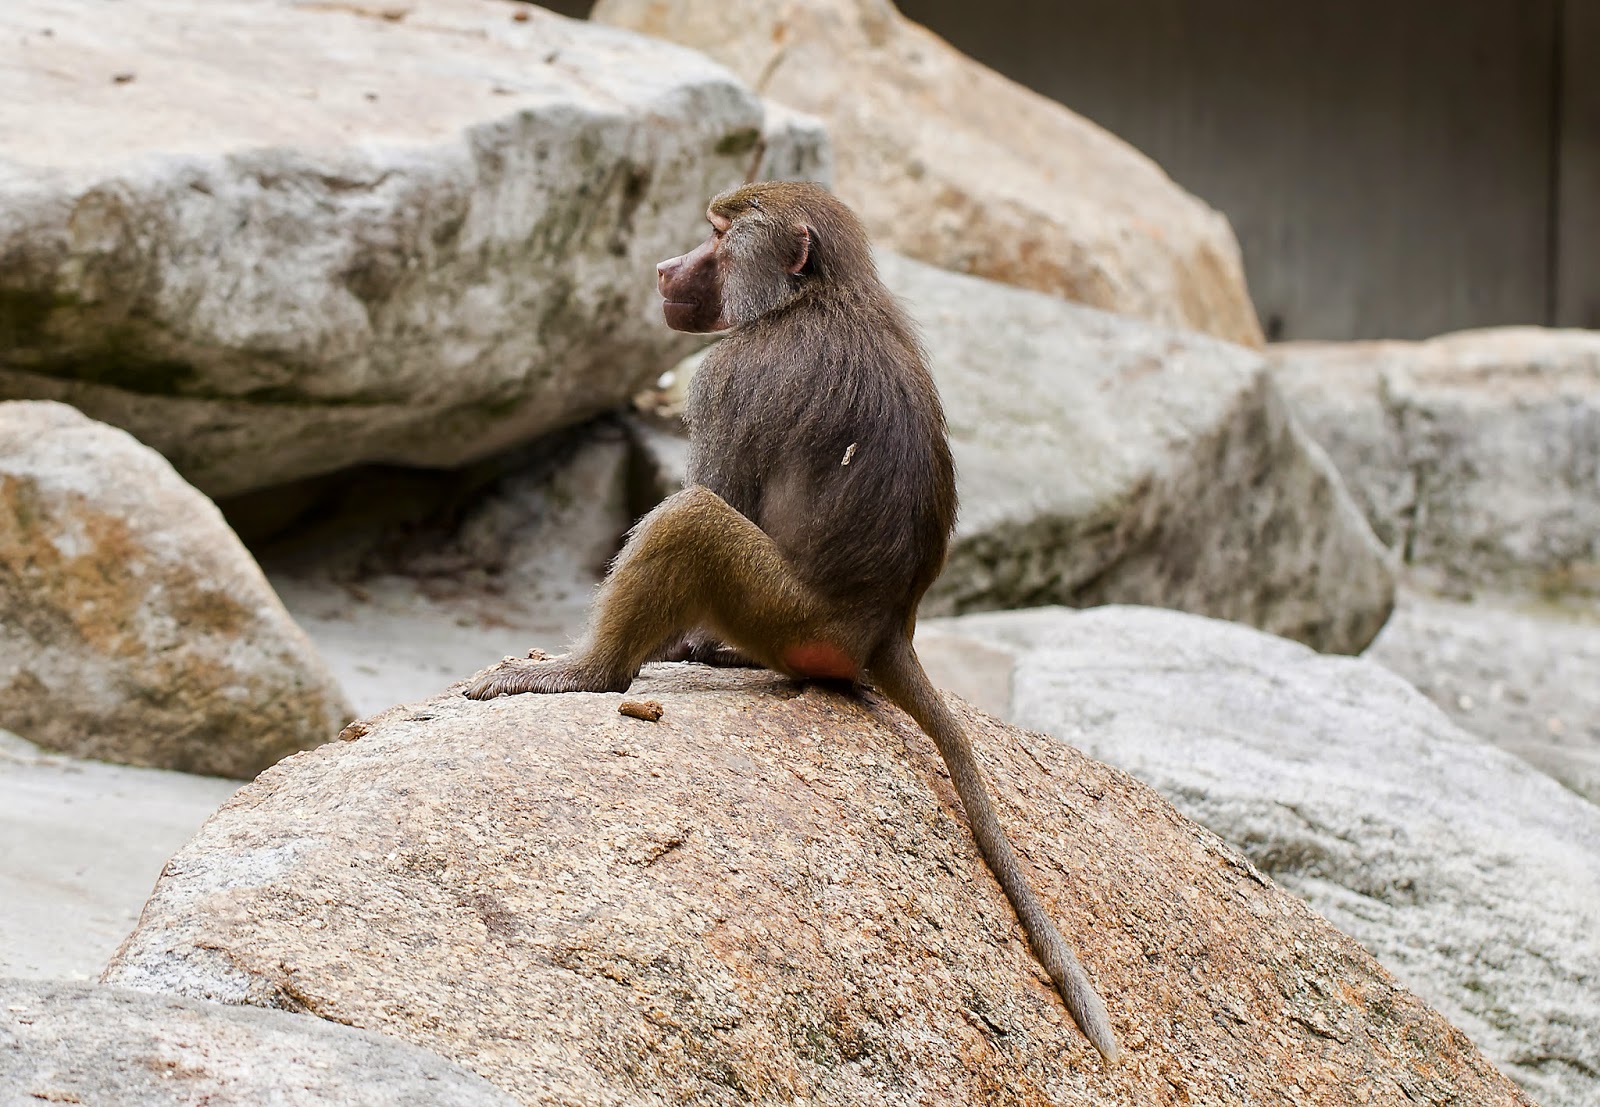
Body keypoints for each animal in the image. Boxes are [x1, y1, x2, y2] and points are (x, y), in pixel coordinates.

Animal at [464, 180, 1119, 1064]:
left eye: (719, 235)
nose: (665, 267)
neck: (815, 297)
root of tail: (887, 631)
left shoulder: (728, 376)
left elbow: (720, 488)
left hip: (781, 608)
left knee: (694, 519)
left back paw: (587, 671)